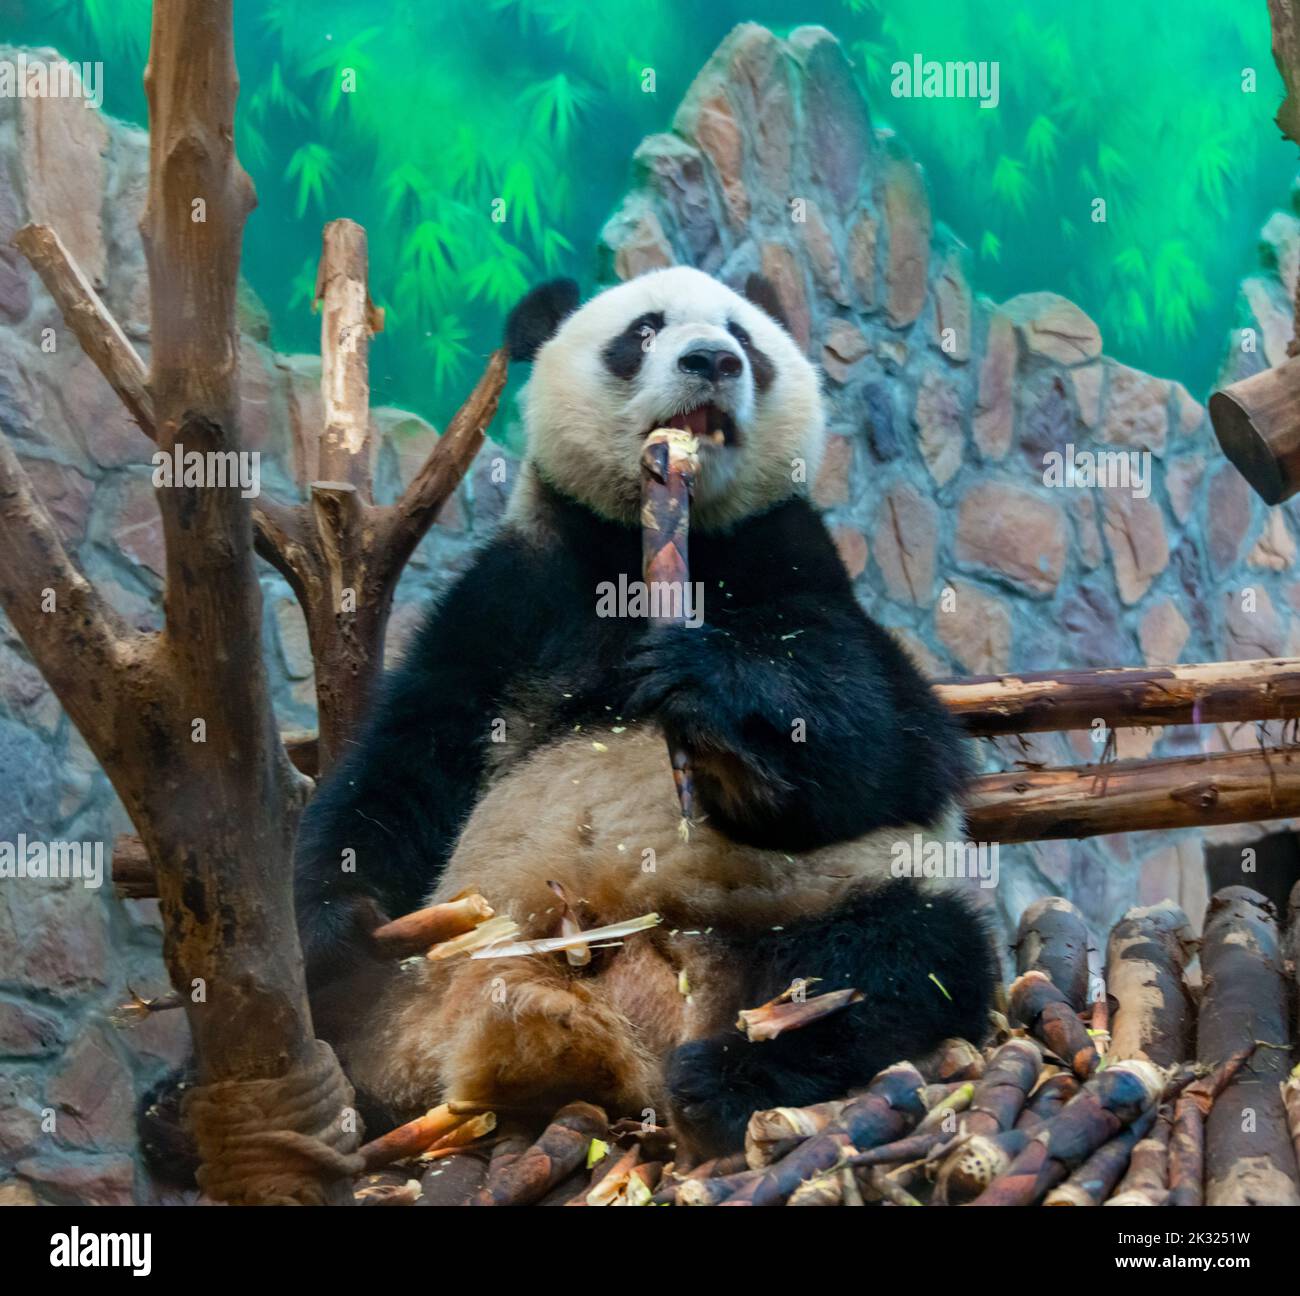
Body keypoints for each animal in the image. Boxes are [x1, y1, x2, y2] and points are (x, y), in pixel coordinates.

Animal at [295, 265, 997, 1159]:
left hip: (812, 911)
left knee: (901, 960)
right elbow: (407, 755)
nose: (712, 360)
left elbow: (891, 744)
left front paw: (708, 700)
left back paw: (724, 1076)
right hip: (427, 974)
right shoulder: (515, 596)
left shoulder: (793, 562)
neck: (648, 545)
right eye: (643, 332)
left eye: (745, 337)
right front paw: (333, 921)